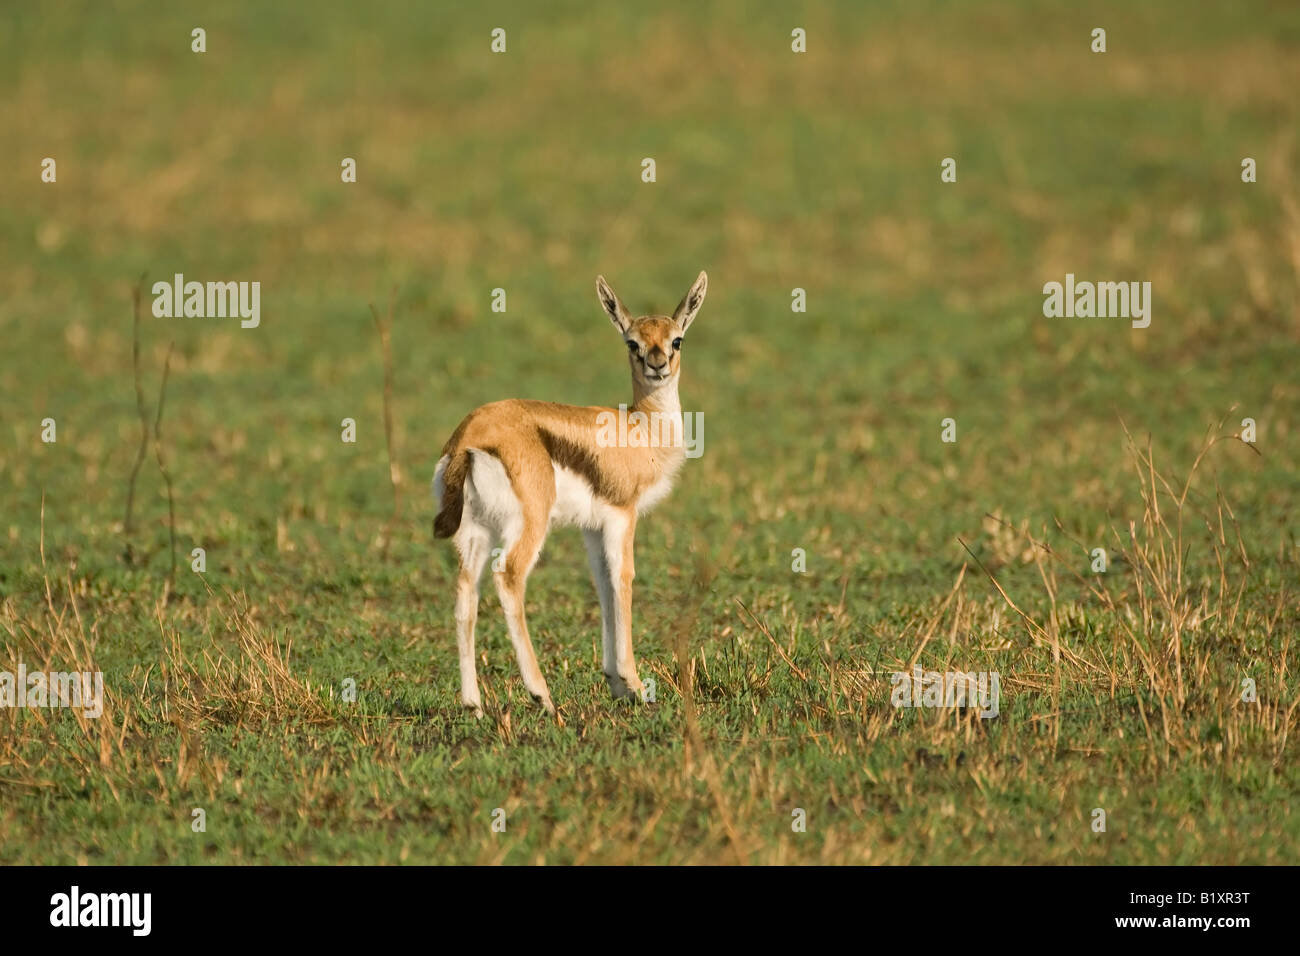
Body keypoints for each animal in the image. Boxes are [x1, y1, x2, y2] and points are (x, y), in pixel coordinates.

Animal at [432, 271, 708, 717]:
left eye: (676, 339)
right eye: (632, 342)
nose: (657, 366)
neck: (641, 430)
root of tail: (468, 438)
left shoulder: (592, 527)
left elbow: (603, 582)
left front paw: (616, 682)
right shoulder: (622, 514)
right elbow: (624, 579)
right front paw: (635, 684)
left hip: (475, 531)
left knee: (465, 592)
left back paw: (473, 703)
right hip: (528, 525)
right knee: (508, 577)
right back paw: (541, 695)